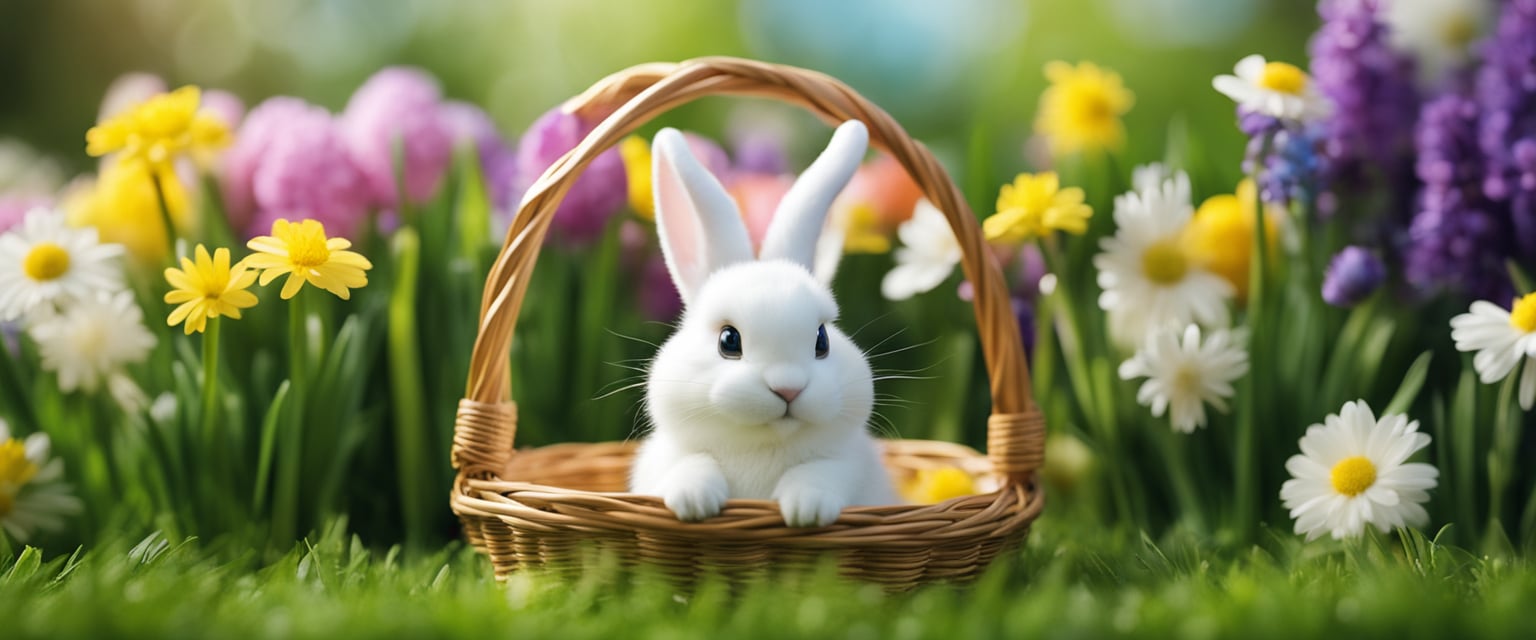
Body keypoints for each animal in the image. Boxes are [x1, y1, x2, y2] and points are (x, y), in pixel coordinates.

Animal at [629, 120, 900, 527]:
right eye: (728, 340)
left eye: (822, 341)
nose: (788, 388)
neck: (762, 446)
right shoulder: (669, 458)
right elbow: (691, 463)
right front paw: (694, 502)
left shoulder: (846, 463)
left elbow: (820, 472)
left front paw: (807, 510)